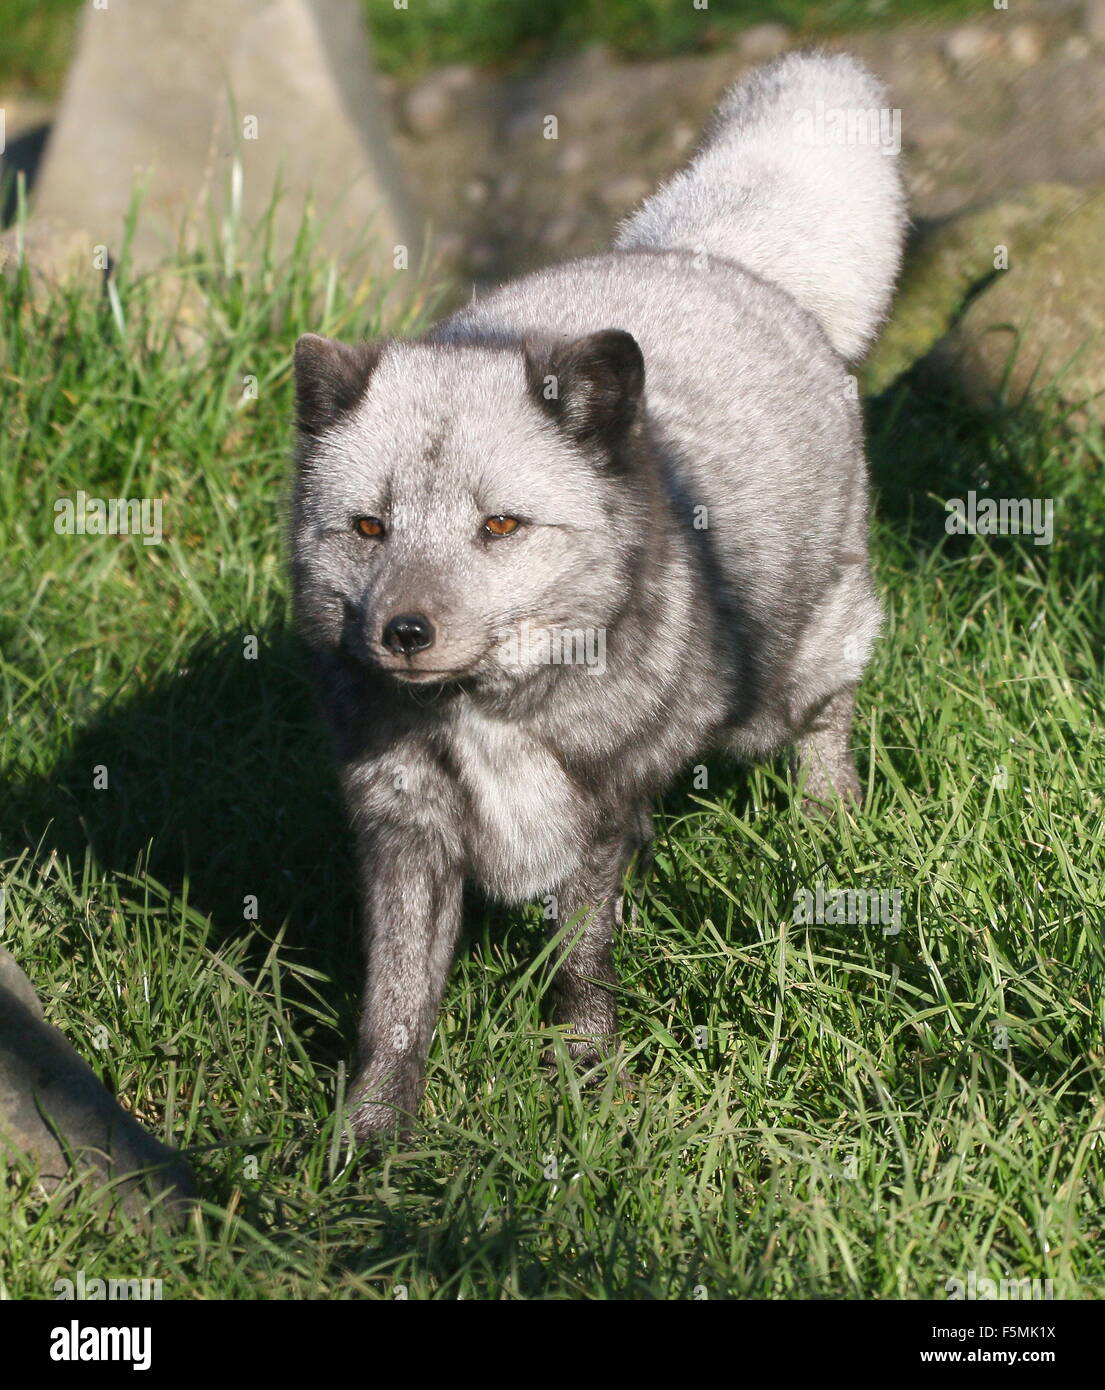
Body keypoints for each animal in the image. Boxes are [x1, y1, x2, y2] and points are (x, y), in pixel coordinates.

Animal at [290, 52, 907, 1142]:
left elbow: (580, 968)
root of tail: (701, 256)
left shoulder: (598, 821)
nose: (404, 632)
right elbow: (393, 1005)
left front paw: (584, 1078)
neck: (483, 718)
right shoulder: (402, 828)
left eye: (499, 526)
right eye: (367, 528)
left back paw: (830, 816)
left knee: (825, 717)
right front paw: (369, 1142)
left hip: (788, 674)